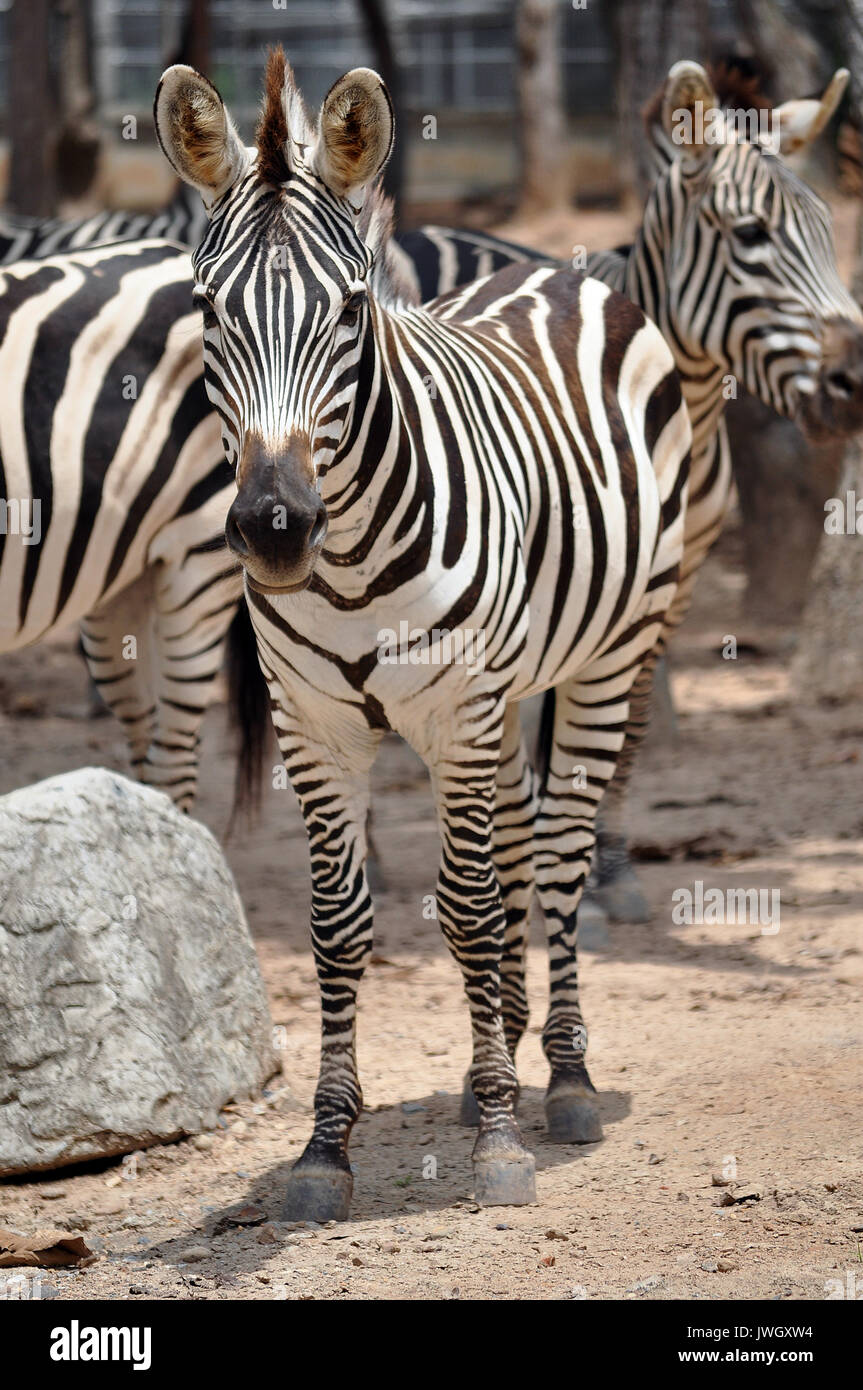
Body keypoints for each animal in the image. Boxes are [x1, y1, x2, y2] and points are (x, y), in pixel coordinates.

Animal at [154, 46, 692, 1218]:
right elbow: (339, 922)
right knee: (523, 835)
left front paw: (498, 1136)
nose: (274, 527)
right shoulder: (316, 726)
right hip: (512, 688)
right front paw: (325, 1147)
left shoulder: (456, 713)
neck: (352, 561)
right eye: (207, 310)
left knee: (560, 849)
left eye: (352, 309)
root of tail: (562, 271)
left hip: (604, 660)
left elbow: (470, 906)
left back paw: (565, 1078)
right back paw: (509, 1044)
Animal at [395, 61, 863, 927]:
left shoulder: (667, 583)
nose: (853, 385)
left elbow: (632, 720)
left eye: (825, 228)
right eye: (749, 235)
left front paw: (608, 869)